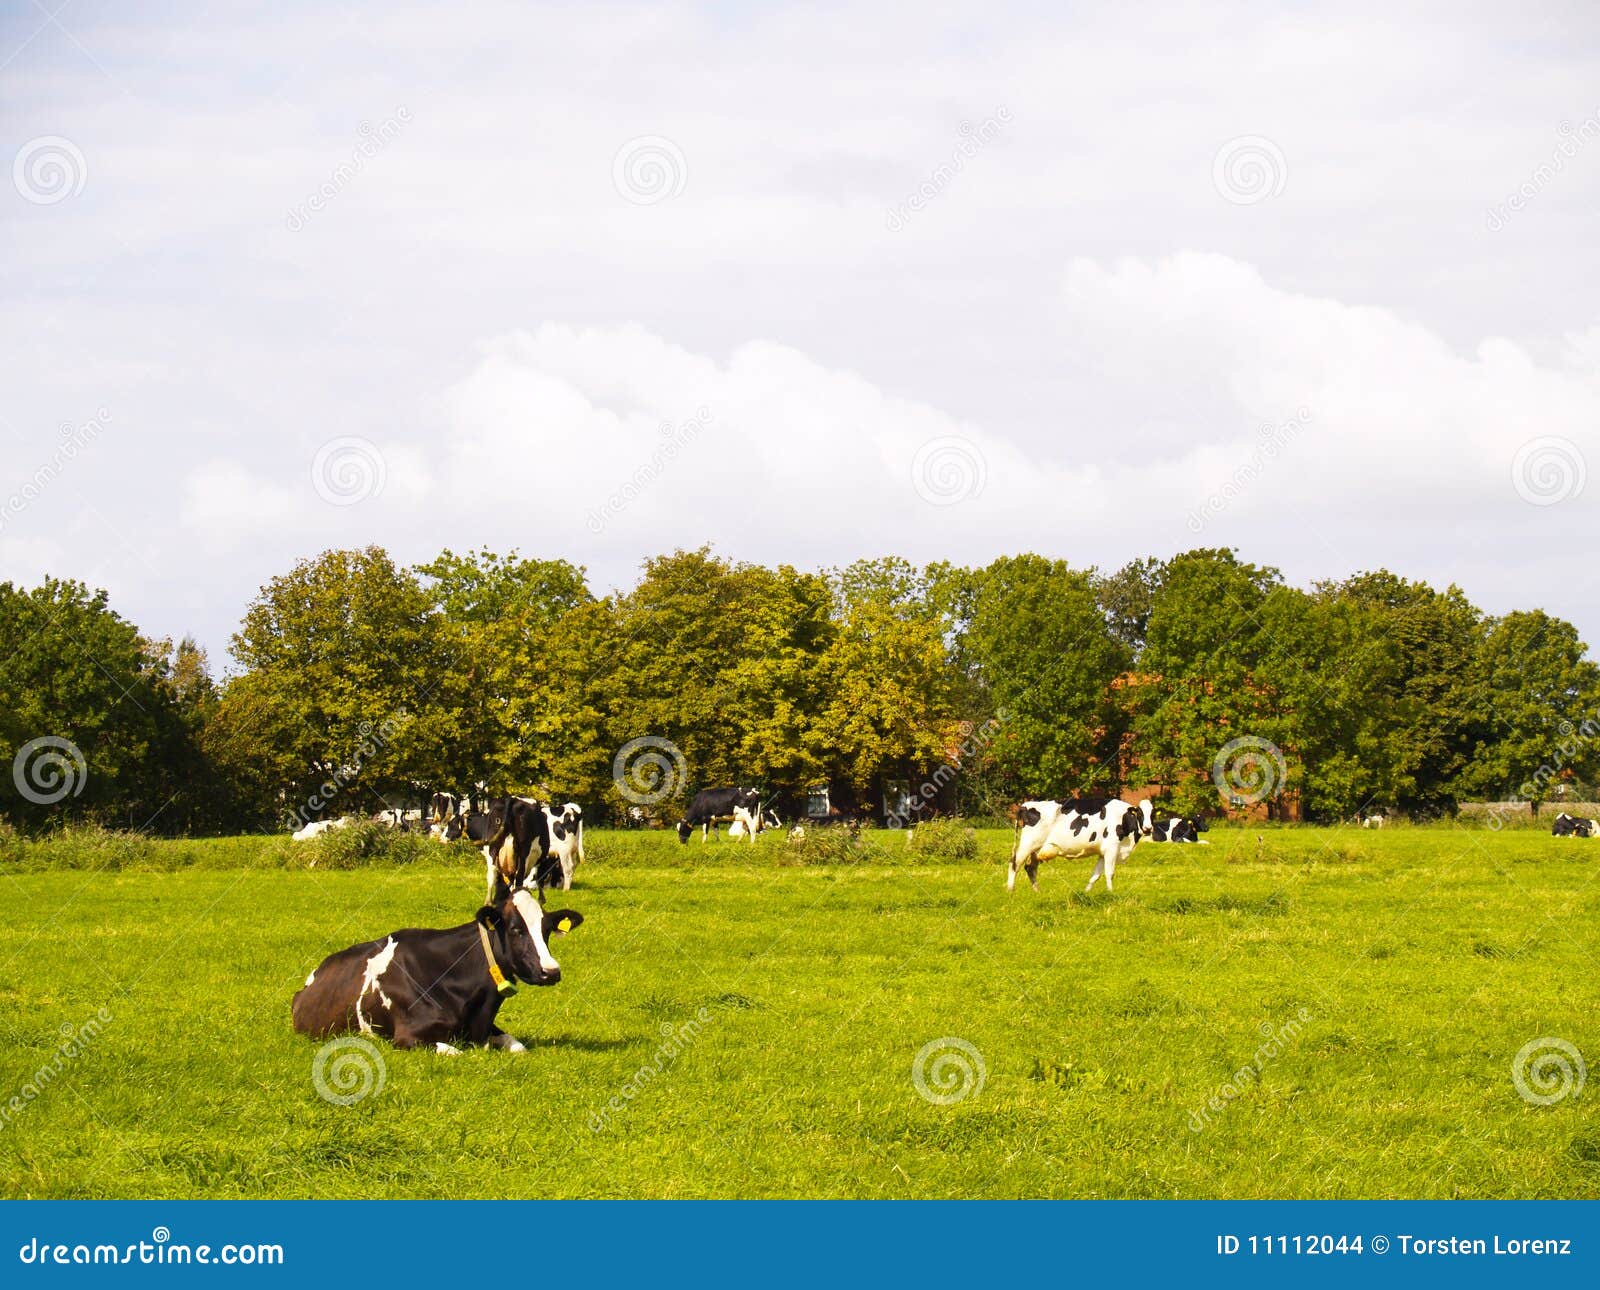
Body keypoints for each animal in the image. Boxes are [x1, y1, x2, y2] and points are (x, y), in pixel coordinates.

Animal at [291, 890, 582, 1053]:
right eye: (515, 929)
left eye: (546, 931)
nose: (551, 971)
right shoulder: (406, 1037)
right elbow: (455, 1052)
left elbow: (519, 1047)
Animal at [1008, 796, 1145, 894]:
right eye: (1140, 814)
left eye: (1150, 814)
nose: (1148, 828)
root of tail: (1026, 805)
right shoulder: (1111, 849)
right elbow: (1109, 873)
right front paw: (1111, 893)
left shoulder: (1103, 853)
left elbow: (1095, 875)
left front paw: (1086, 893)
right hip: (1027, 844)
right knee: (1014, 864)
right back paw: (1010, 891)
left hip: (1036, 850)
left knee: (1030, 868)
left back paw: (1038, 892)